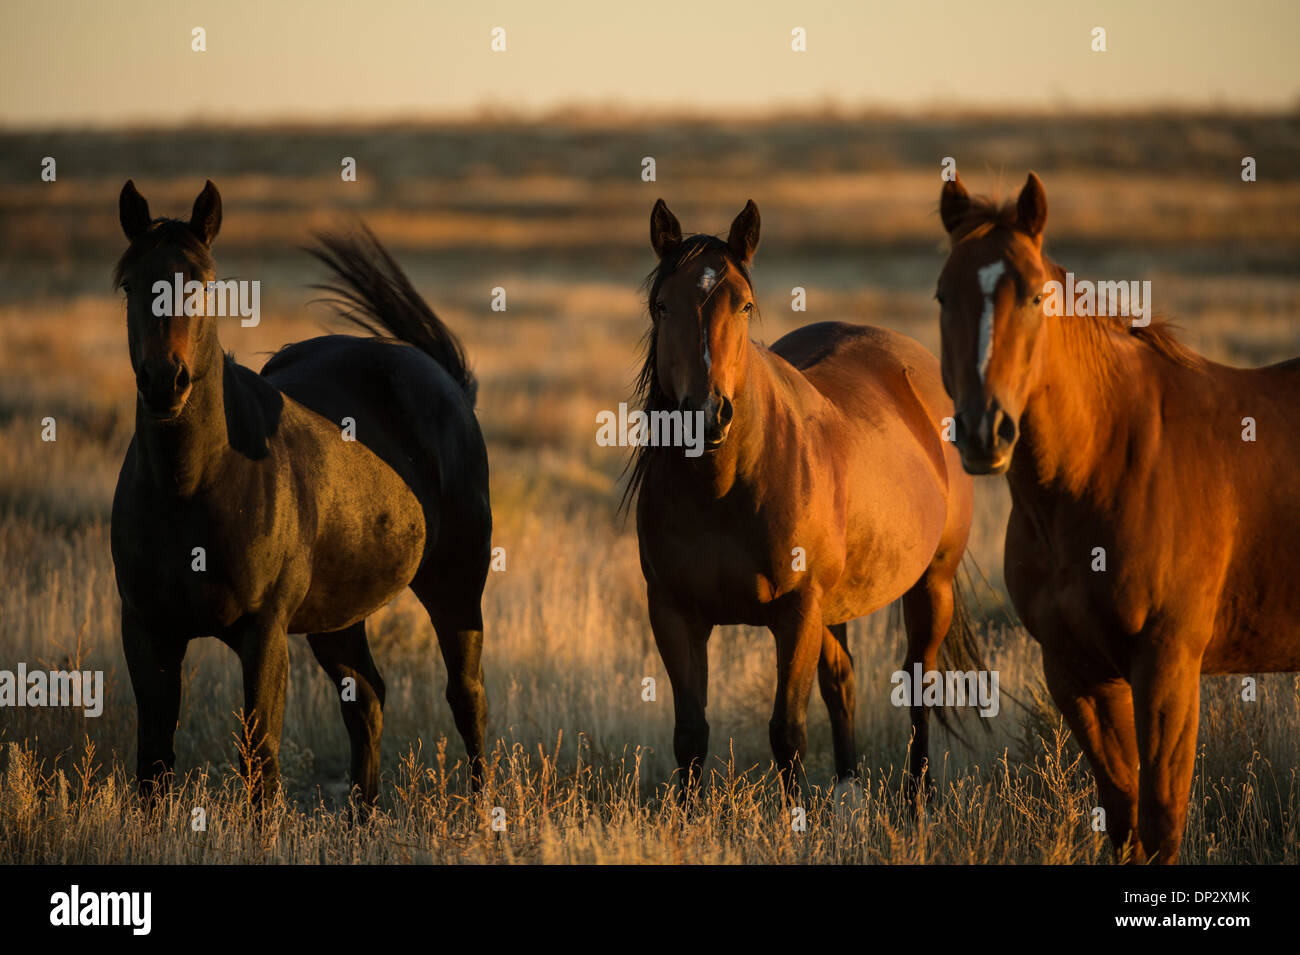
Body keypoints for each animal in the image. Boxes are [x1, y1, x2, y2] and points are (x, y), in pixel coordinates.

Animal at [110, 180, 492, 808]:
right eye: (128, 284)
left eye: (204, 283)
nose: (166, 382)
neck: (191, 485)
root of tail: (447, 381)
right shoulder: (147, 629)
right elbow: (154, 759)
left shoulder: (263, 631)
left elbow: (260, 754)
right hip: (337, 616)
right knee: (367, 699)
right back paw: (363, 816)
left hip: (456, 586)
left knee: (467, 698)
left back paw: (483, 813)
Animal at [630, 198, 980, 792]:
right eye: (661, 306)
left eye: (744, 305)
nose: (705, 415)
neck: (722, 492)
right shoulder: (674, 611)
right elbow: (691, 736)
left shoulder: (796, 611)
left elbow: (787, 733)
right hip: (837, 605)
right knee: (843, 683)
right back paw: (850, 786)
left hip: (931, 583)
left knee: (919, 683)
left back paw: (919, 795)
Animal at [936, 171, 1300, 863]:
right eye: (944, 296)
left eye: (1034, 296)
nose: (982, 432)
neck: (1105, 463)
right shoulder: (1076, 672)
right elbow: (1124, 814)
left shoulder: (1166, 666)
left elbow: (1160, 819)